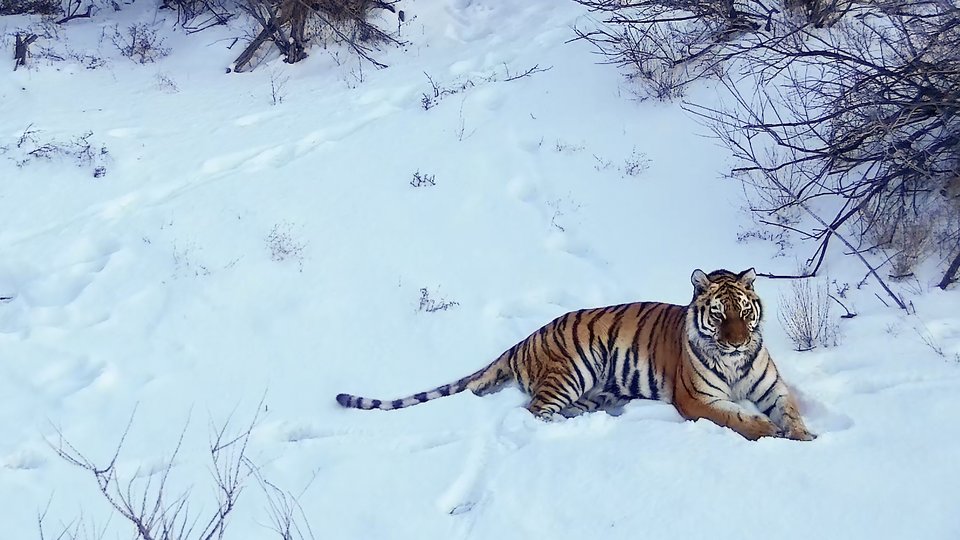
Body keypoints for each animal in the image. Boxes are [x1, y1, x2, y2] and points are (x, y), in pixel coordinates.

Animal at [336, 268, 815, 441]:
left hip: (602, 387)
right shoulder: (696, 398)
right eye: (718, 315)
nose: (736, 341)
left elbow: (790, 409)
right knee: (534, 412)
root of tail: (523, 341)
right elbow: (735, 418)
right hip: (574, 369)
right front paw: (768, 431)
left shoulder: (773, 387)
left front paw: (803, 435)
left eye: (744, 312)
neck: (733, 362)